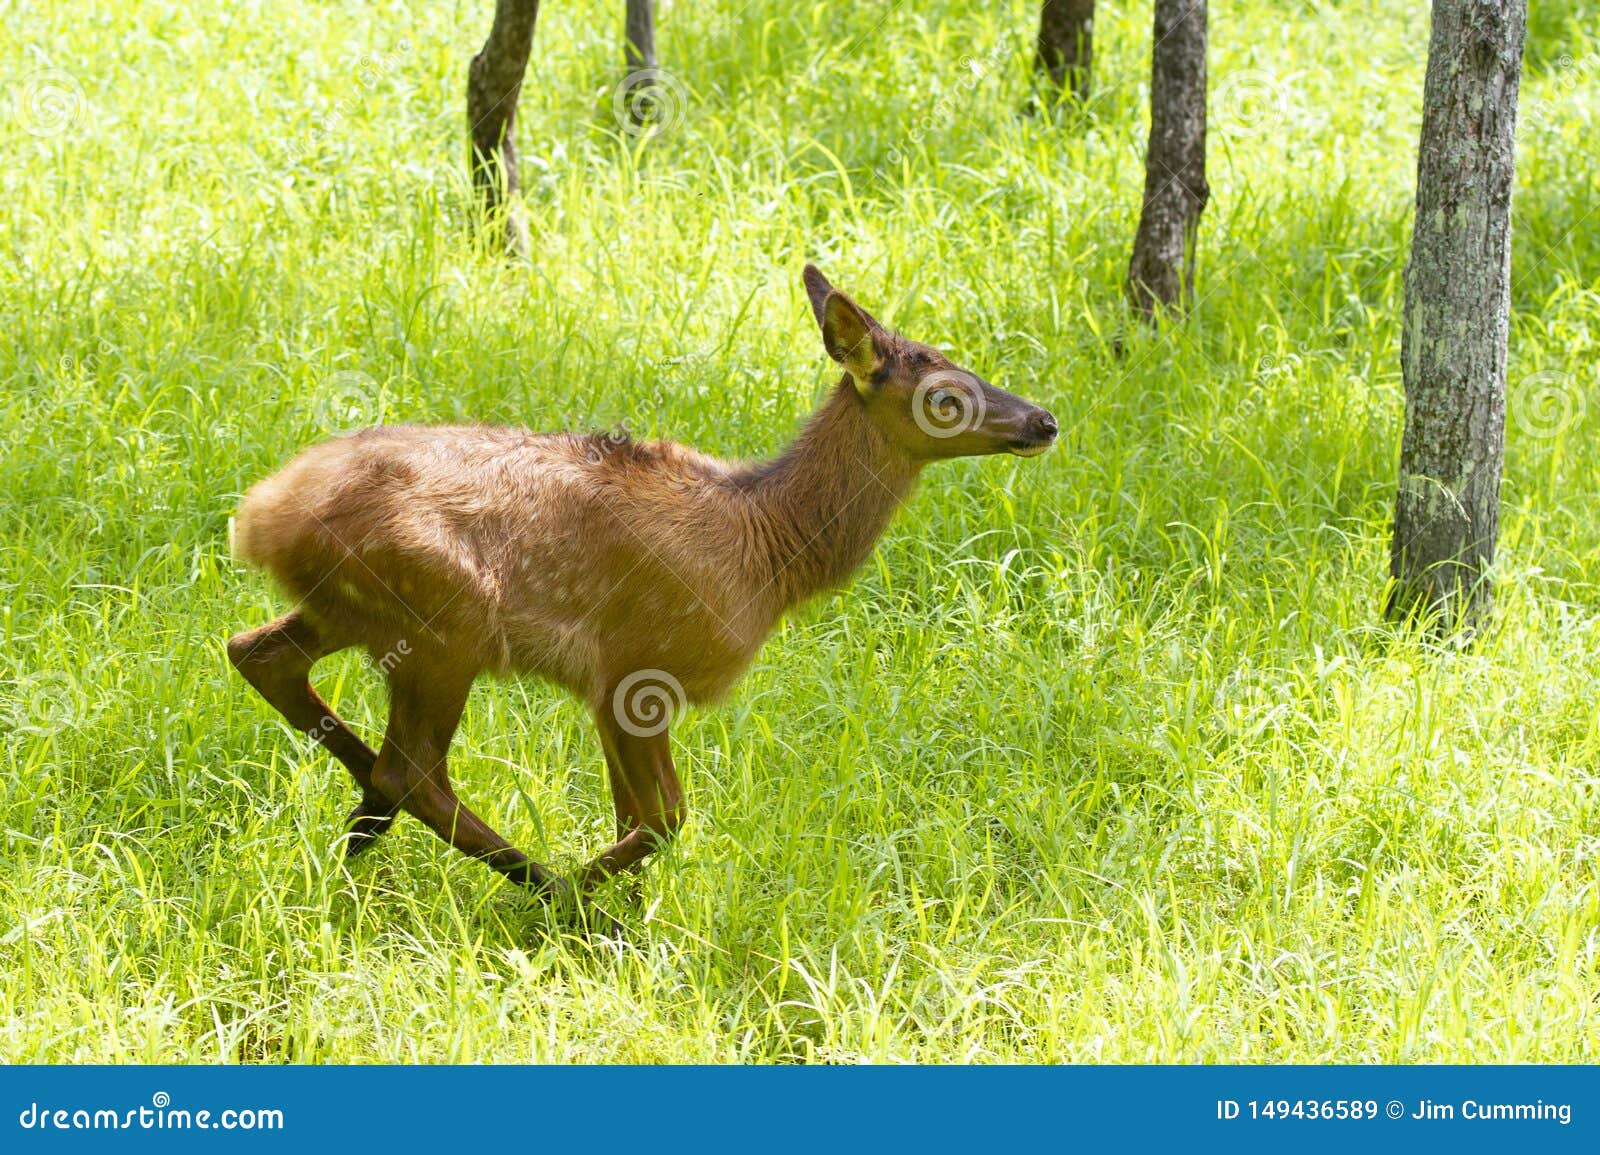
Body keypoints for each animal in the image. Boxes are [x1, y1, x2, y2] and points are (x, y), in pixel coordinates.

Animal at [226, 265, 1058, 920]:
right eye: (944, 396)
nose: (1045, 420)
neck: (768, 552)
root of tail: (262, 516)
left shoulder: (605, 689)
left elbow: (634, 813)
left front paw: (622, 907)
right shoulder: (639, 667)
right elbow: (665, 818)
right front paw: (596, 906)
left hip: (359, 614)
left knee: (261, 656)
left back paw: (364, 838)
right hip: (443, 625)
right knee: (414, 771)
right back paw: (544, 891)